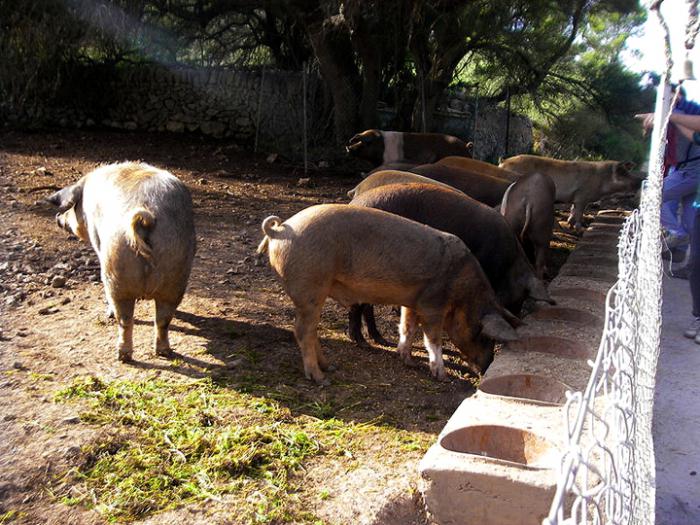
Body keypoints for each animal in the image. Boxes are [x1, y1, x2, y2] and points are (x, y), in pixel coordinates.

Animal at [46, 162, 196, 362]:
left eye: (71, 207)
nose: (57, 217)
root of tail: (147, 215)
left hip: (116, 268)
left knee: (124, 319)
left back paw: (122, 354)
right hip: (176, 270)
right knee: (163, 320)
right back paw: (164, 352)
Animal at [258, 204, 520, 380]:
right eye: (483, 335)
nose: (486, 367)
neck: (463, 293)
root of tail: (280, 230)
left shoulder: (413, 302)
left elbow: (407, 328)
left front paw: (407, 361)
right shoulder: (433, 304)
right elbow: (432, 338)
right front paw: (440, 375)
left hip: (313, 294)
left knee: (311, 331)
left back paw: (330, 367)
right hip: (310, 289)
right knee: (302, 331)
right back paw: (320, 378)